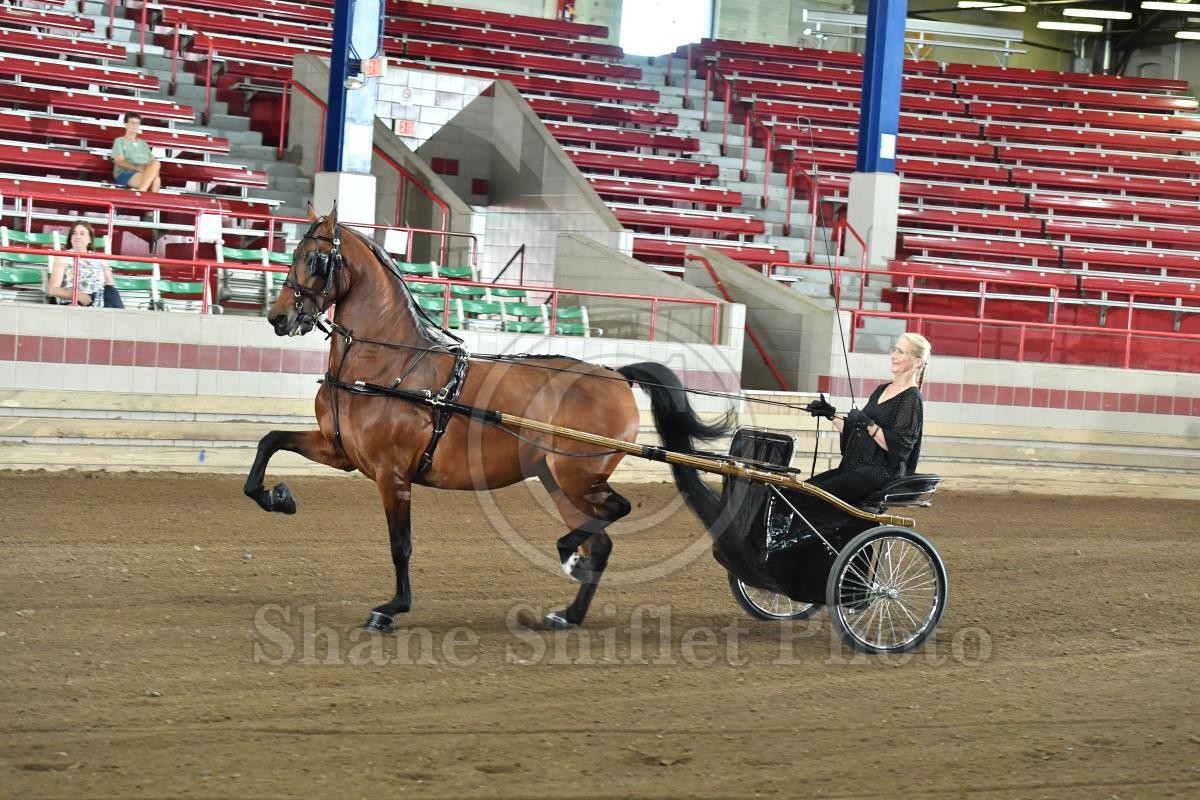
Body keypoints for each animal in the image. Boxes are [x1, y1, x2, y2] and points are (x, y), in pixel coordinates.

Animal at [244, 207, 731, 632]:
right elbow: (269, 441)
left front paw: (391, 609)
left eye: (315, 259)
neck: (386, 365)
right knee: (602, 540)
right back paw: (568, 613)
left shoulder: (392, 473)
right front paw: (277, 497)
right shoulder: (341, 451)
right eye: (292, 253)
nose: (278, 317)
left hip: (577, 475)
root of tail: (616, 374)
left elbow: (400, 545)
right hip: (560, 480)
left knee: (615, 513)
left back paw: (568, 558)